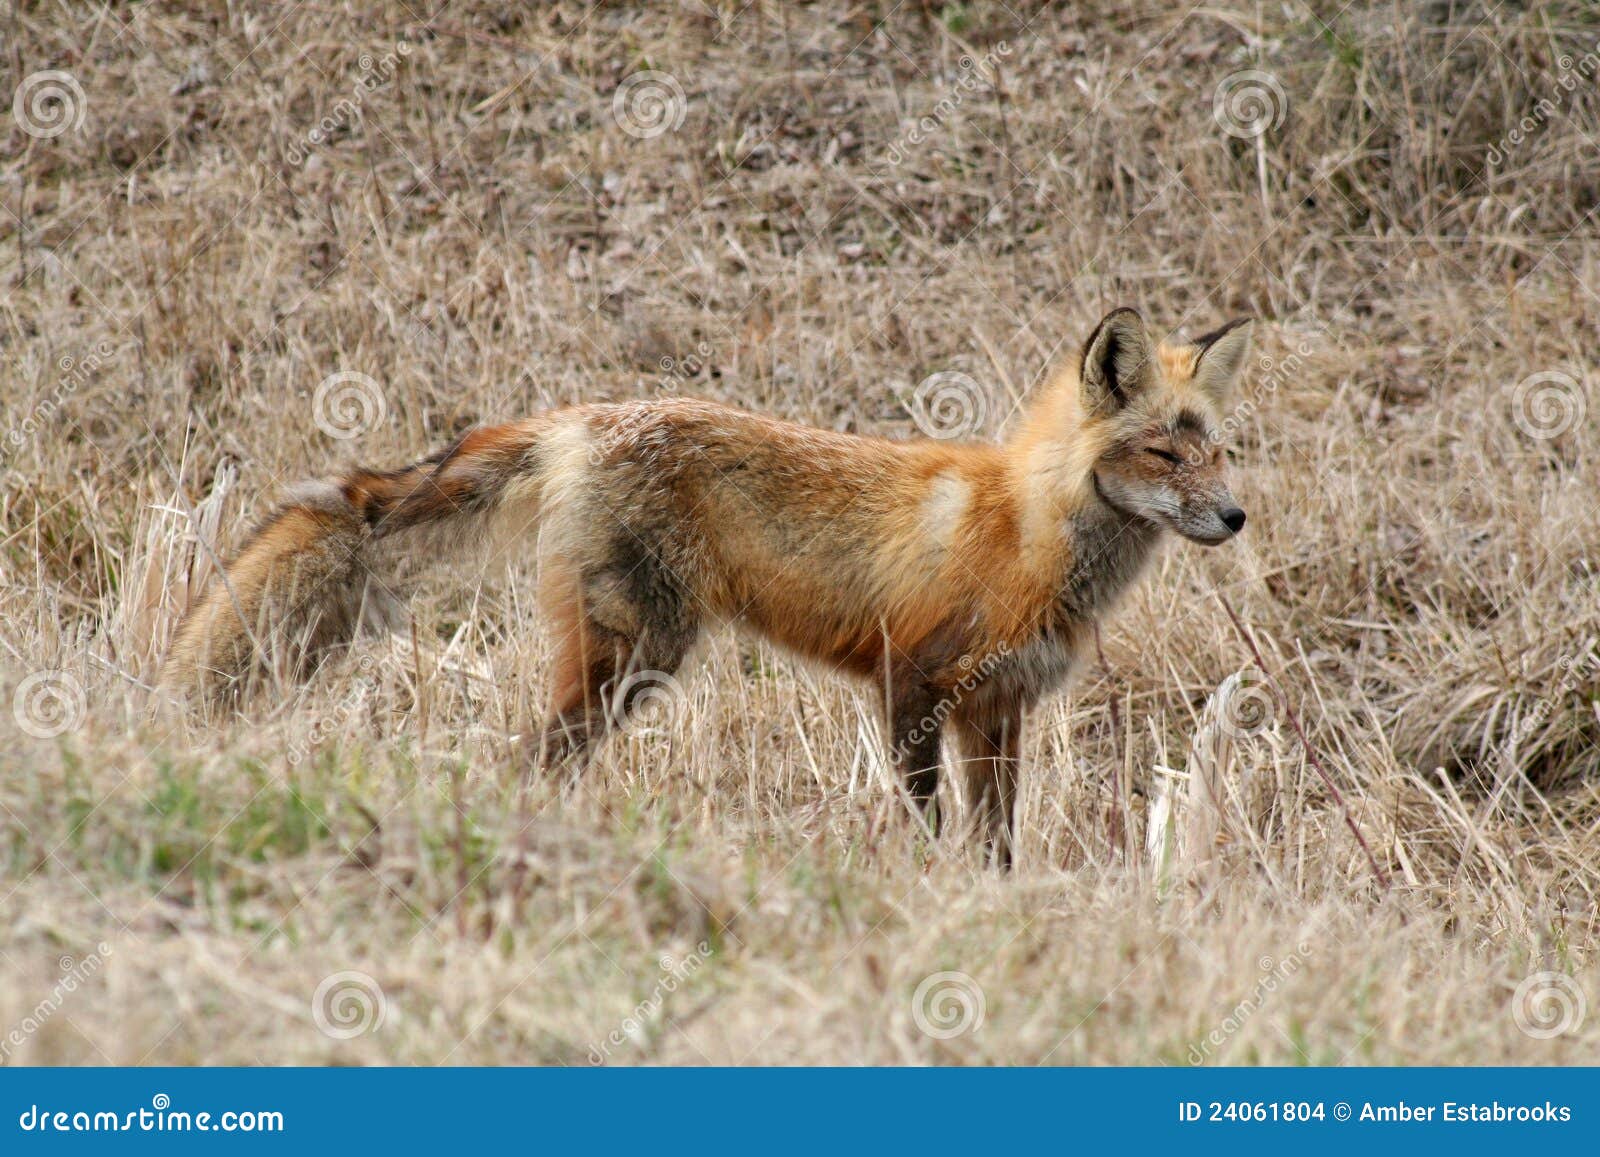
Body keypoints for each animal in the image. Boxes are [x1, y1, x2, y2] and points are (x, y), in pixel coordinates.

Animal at [164, 307, 1252, 866]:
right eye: (1164, 453)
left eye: (1220, 452)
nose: (1236, 517)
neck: (1029, 533)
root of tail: (577, 417)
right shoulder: (910, 680)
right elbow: (928, 824)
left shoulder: (1000, 708)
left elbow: (996, 844)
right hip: (634, 654)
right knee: (530, 757)